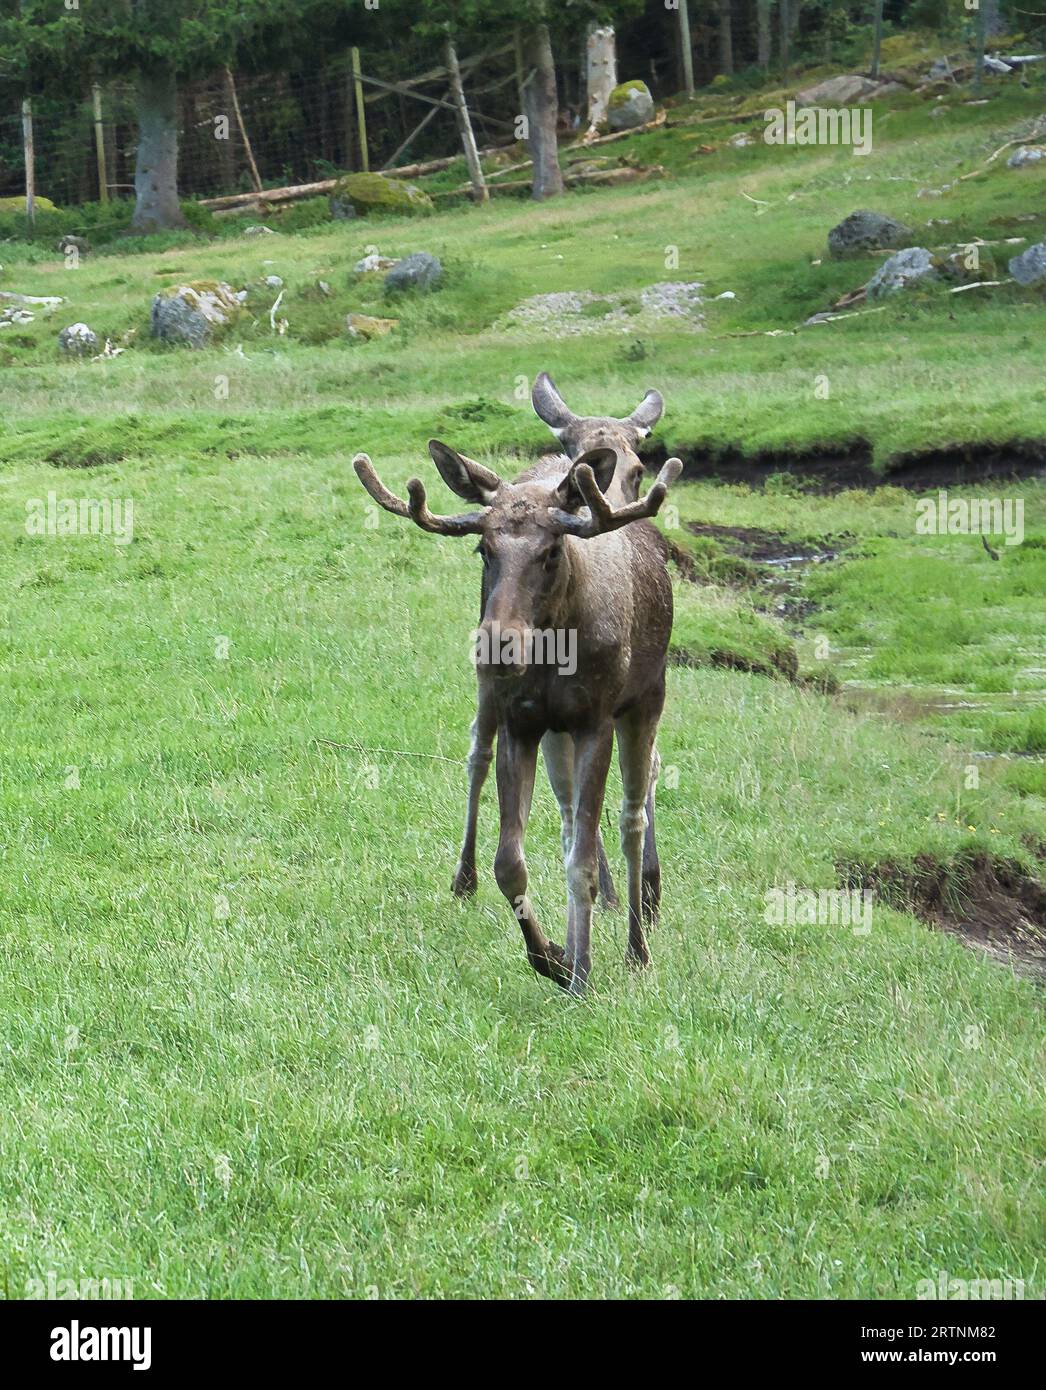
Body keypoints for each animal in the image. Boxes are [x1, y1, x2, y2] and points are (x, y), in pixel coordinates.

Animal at [353, 417, 681, 996]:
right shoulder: (521, 722)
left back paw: (637, 950)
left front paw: (582, 974)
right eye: (483, 549)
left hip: (646, 701)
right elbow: (511, 862)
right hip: (550, 730)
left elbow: (583, 865)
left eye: (551, 551)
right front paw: (552, 957)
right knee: (570, 821)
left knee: (631, 820)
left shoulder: (596, 720)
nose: (498, 642)